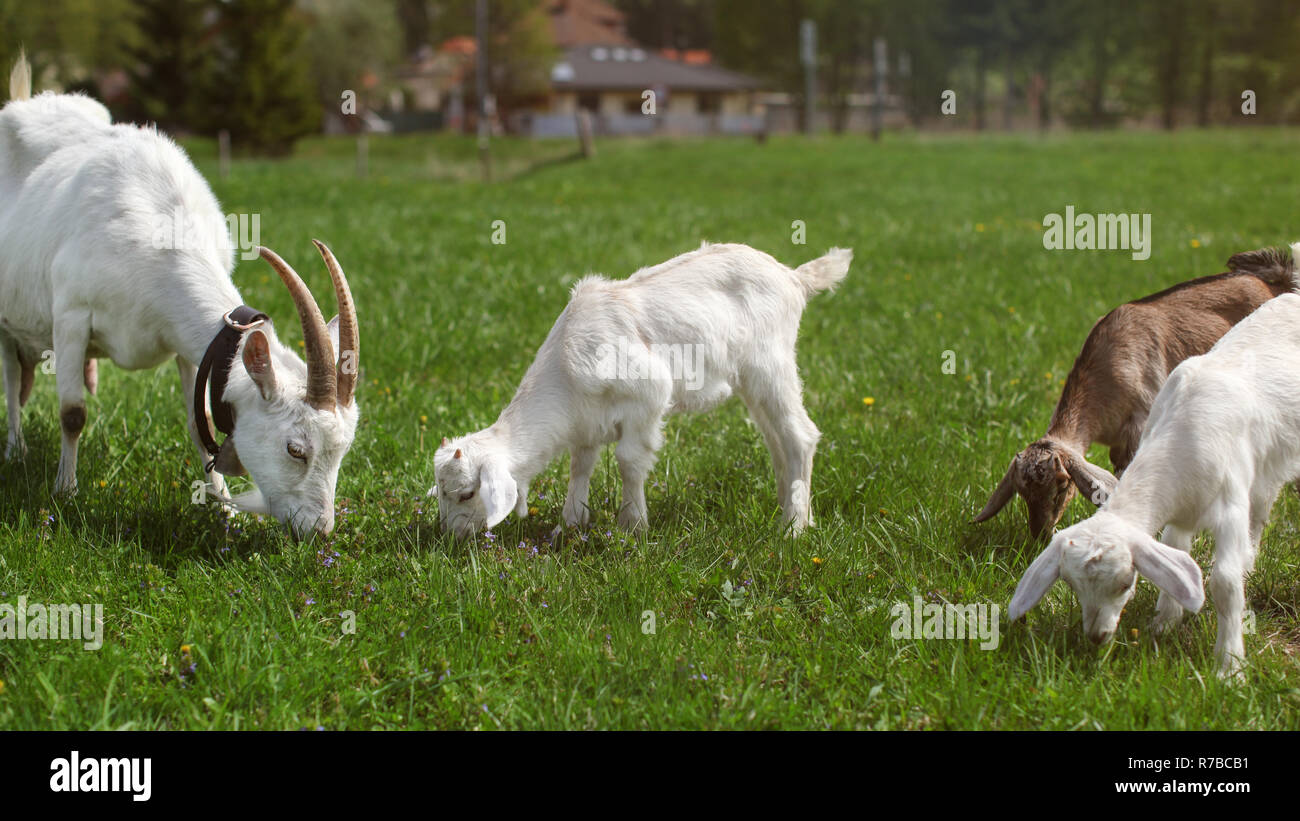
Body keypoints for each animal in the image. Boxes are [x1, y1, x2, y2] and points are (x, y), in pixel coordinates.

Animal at [0, 54, 361, 538]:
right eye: (296, 449)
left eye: (342, 451)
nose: (319, 530)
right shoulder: (71, 317)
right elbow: (72, 413)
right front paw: (65, 494)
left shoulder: (190, 346)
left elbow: (198, 420)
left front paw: (223, 509)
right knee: (10, 377)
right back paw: (16, 449)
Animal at [431, 242, 851, 540]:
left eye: (466, 493)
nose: (452, 536)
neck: (564, 373)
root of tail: (793, 277)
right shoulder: (586, 421)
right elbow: (580, 464)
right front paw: (570, 523)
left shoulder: (648, 395)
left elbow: (629, 460)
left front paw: (631, 525)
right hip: (753, 382)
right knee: (776, 440)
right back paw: (795, 511)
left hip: (771, 364)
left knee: (800, 435)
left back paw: (792, 528)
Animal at [1009, 278, 1300, 678]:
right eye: (1071, 584)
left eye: (1126, 582)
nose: (1097, 637)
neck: (1184, 437)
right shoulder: (1180, 514)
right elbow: (1177, 554)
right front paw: (1164, 623)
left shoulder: (1229, 506)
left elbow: (1224, 583)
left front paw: (1229, 667)